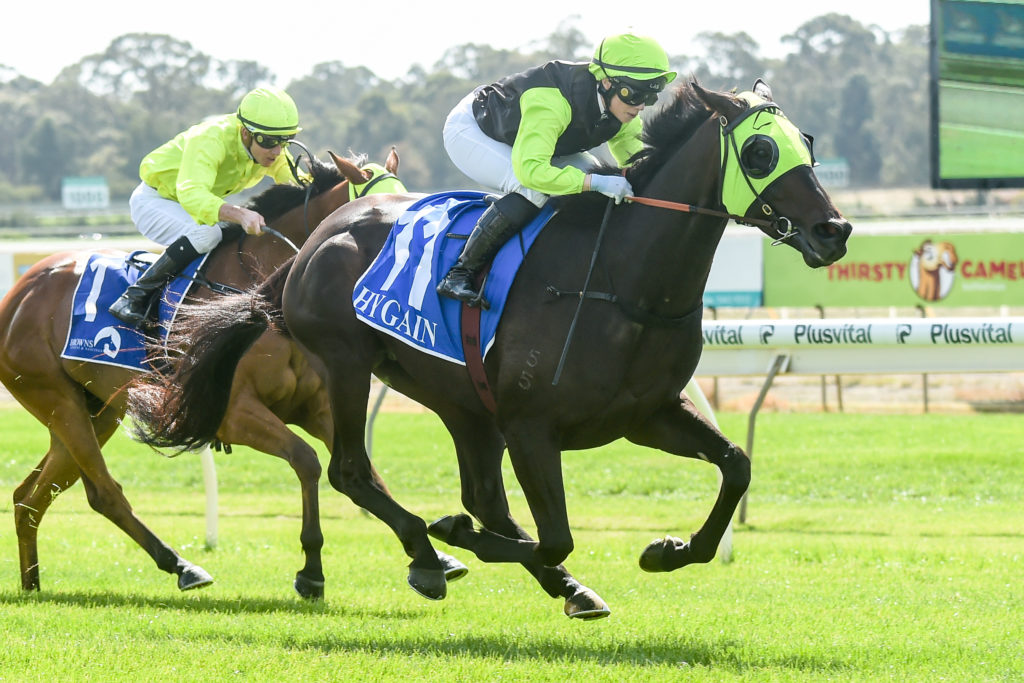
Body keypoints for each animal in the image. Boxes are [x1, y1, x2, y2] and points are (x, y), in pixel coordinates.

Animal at [1, 147, 400, 596]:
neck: (264, 301)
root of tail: (18, 292)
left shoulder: (316, 408)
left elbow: (364, 471)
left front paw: (431, 555)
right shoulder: (233, 413)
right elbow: (307, 460)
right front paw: (311, 569)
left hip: (96, 411)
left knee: (29, 496)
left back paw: (32, 584)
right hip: (58, 400)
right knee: (103, 492)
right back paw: (182, 565)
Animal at [128, 81, 852, 619]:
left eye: (809, 145)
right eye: (759, 151)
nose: (835, 229)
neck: (620, 280)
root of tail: (314, 240)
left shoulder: (646, 413)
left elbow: (735, 466)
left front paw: (667, 550)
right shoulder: (533, 425)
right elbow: (556, 535)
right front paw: (452, 535)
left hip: (458, 397)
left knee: (481, 495)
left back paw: (546, 581)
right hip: (349, 365)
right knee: (351, 471)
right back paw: (429, 551)